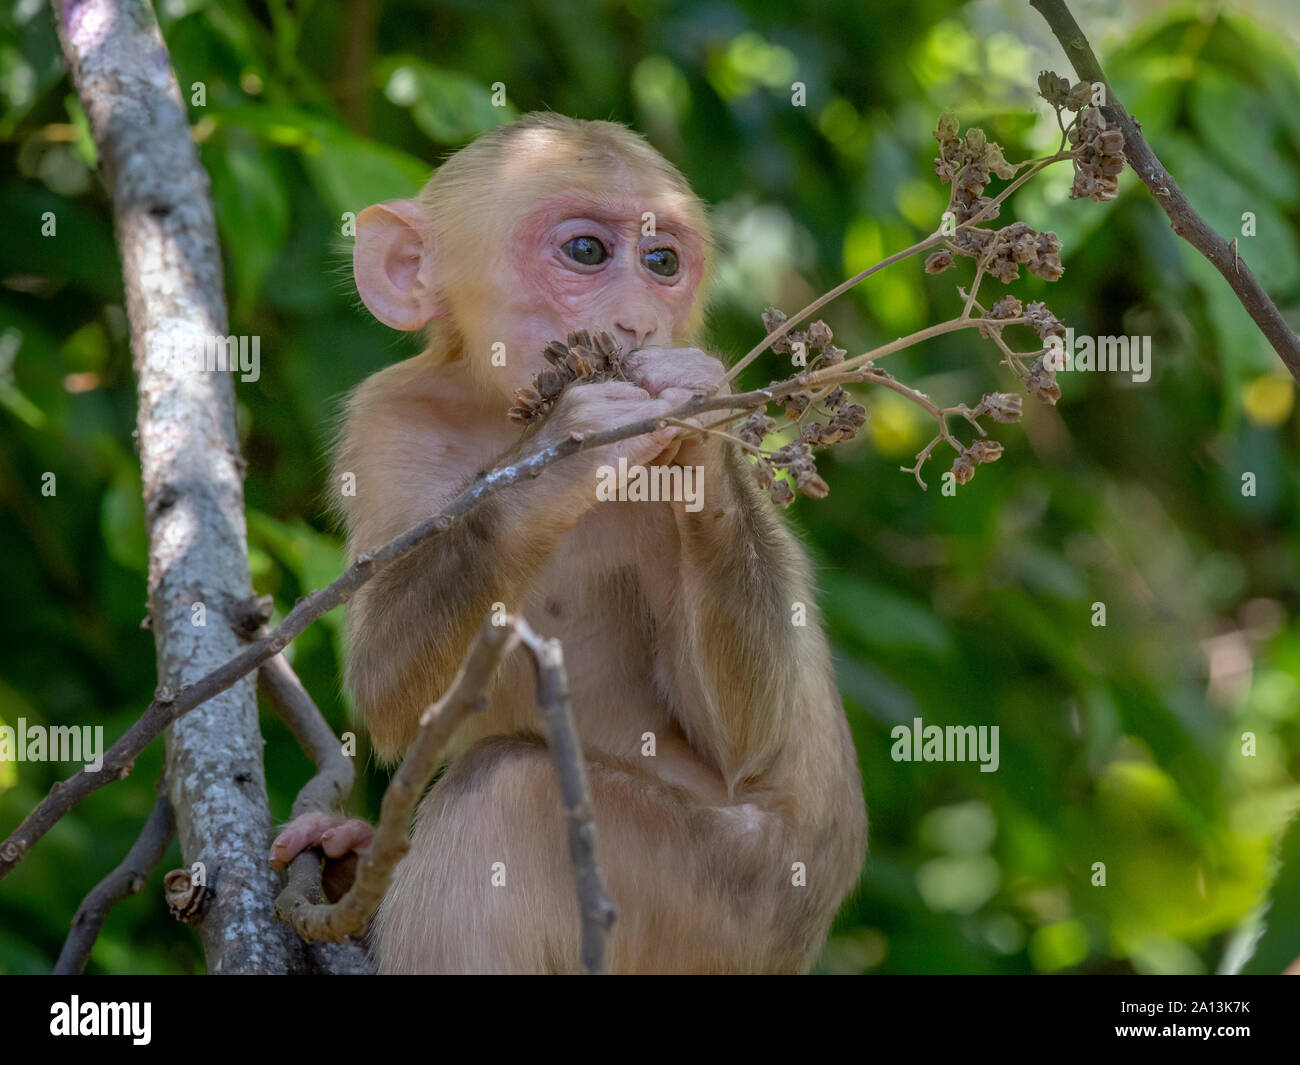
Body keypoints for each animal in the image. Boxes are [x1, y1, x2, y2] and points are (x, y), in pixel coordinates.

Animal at [270, 113, 867, 974]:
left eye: (661, 263)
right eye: (586, 251)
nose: (637, 323)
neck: (496, 408)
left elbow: (746, 742)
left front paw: (698, 420)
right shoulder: (386, 419)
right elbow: (388, 692)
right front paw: (558, 456)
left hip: (727, 897)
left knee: (506, 791)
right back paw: (347, 858)